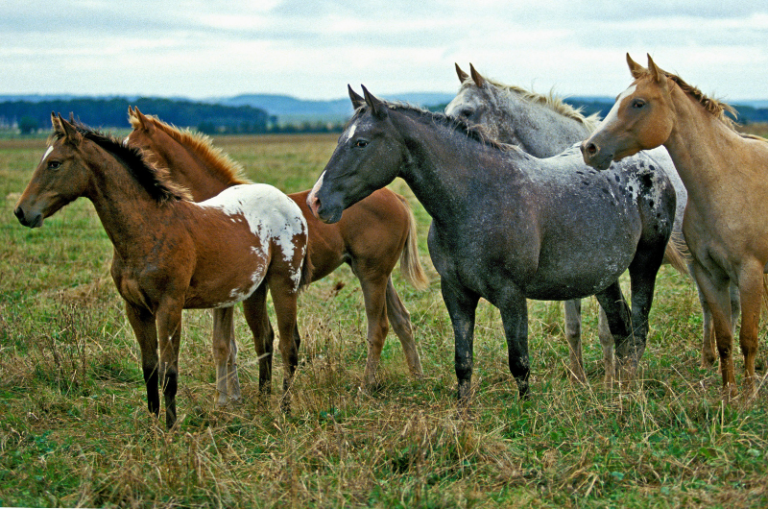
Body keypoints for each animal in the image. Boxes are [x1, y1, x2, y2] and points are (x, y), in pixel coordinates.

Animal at [14, 114, 311, 428]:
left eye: (54, 163)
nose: (22, 212)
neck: (150, 227)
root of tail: (290, 204)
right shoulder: (136, 309)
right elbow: (150, 369)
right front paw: (153, 424)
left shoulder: (169, 307)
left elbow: (169, 372)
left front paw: (170, 428)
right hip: (253, 290)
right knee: (264, 340)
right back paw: (262, 405)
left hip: (284, 283)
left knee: (288, 346)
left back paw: (284, 410)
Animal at [125, 106, 428, 389]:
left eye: (138, 149)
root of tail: (398, 198)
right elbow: (229, 344)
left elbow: (237, 343)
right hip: (375, 273)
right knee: (402, 319)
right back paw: (417, 376)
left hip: (371, 274)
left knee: (379, 327)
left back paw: (368, 385)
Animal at [307, 86, 681, 405]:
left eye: (361, 143)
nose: (315, 201)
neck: (477, 198)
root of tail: (650, 166)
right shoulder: (456, 293)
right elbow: (463, 362)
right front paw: (464, 414)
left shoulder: (511, 295)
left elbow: (519, 362)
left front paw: (526, 414)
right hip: (604, 277)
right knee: (621, 328)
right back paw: (619, 390)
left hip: (645, 262)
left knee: (639, 328)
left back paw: (630, 393)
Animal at [582, 54, 768, 398]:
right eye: (616, 100)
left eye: (638, 103)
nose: (590, 148)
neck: (727, 181)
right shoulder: (710, 274)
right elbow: (724, 337)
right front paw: (729, 394)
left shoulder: (749, 273)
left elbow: (747, 338)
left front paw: (749, 395)